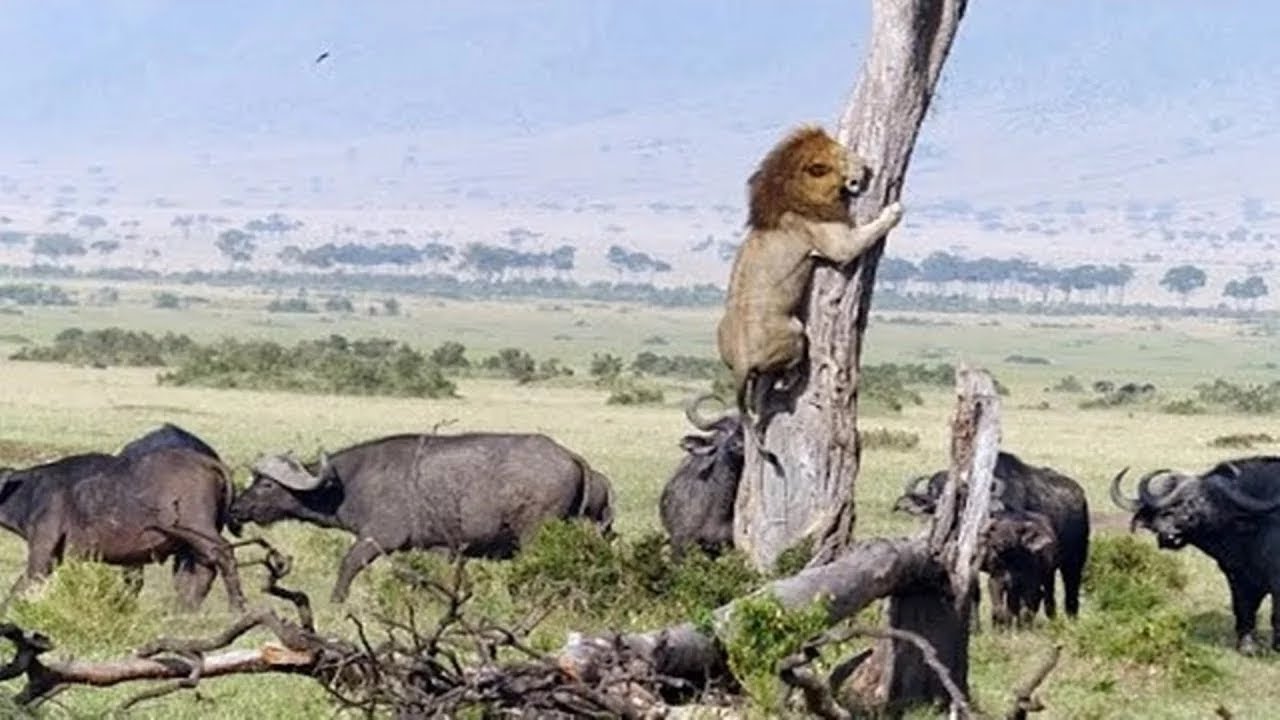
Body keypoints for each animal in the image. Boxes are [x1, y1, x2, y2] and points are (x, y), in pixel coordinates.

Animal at [715, 125, 904, 455]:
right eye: (843, 156)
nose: (866, 166)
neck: (794, 194)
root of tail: (738, 361)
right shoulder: (837, 243)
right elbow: (868, 232)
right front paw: (893, 211)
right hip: (795, 331)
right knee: (786, 369)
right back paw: (794, 379)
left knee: (759, 391)